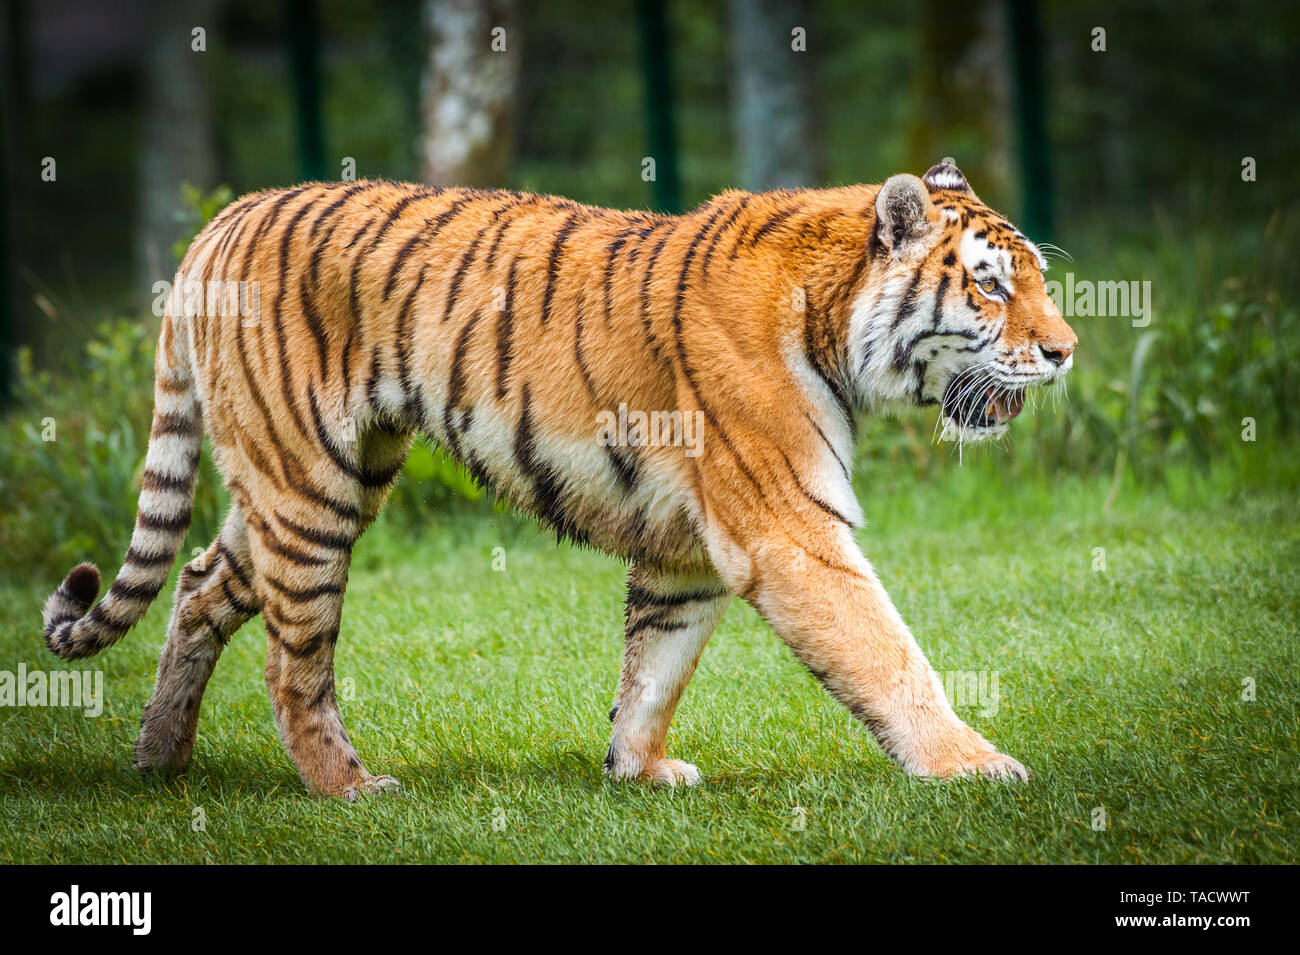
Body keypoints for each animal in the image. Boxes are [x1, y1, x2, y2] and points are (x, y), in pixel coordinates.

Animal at [42, 162, 1076, 800]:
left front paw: (638, 768)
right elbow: (889, 656)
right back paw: (347, 786)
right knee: (292, 663)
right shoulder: (789, 529)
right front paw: (973, 765)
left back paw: (159, 759)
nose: (1066, 351)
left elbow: (655, 662)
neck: (832, 314)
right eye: (990, 285)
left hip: (315, 477)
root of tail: (227, 215)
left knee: (199, 584)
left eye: (1034, 277)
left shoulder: (687, 544)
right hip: (308, 488)